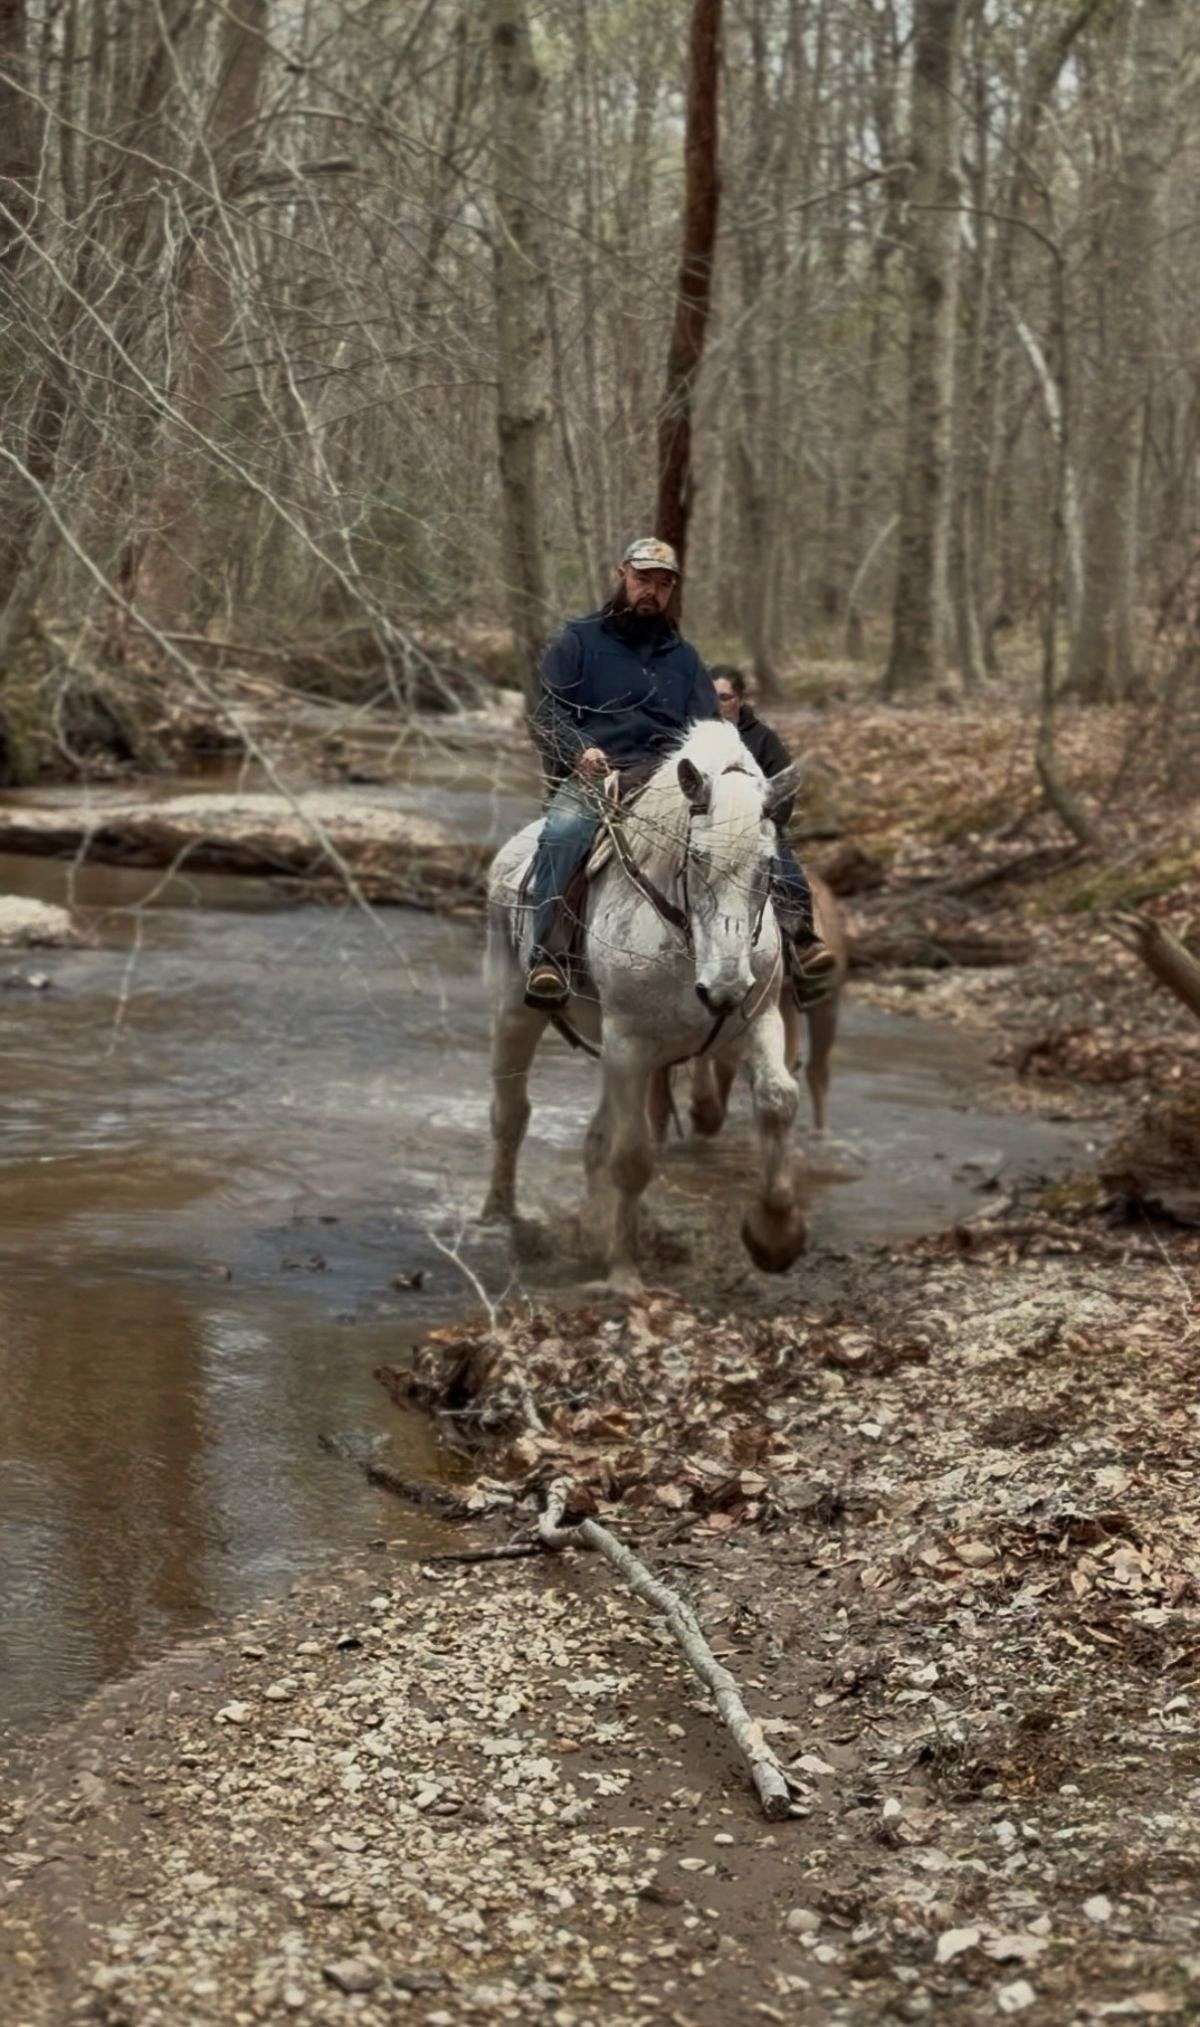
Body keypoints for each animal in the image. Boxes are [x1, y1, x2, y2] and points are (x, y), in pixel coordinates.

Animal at [481, 718, 807, 1296]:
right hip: (516, 1015)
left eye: (767, 865)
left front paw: (775, 1238)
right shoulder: (629, 1044)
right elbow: (632, 1156)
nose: (724, 988)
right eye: (696, 856)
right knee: (511, 1114)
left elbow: (778, 1101)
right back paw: (500, 1216)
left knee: (593, 1141)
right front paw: (624, 1271)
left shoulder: (758, 1019)